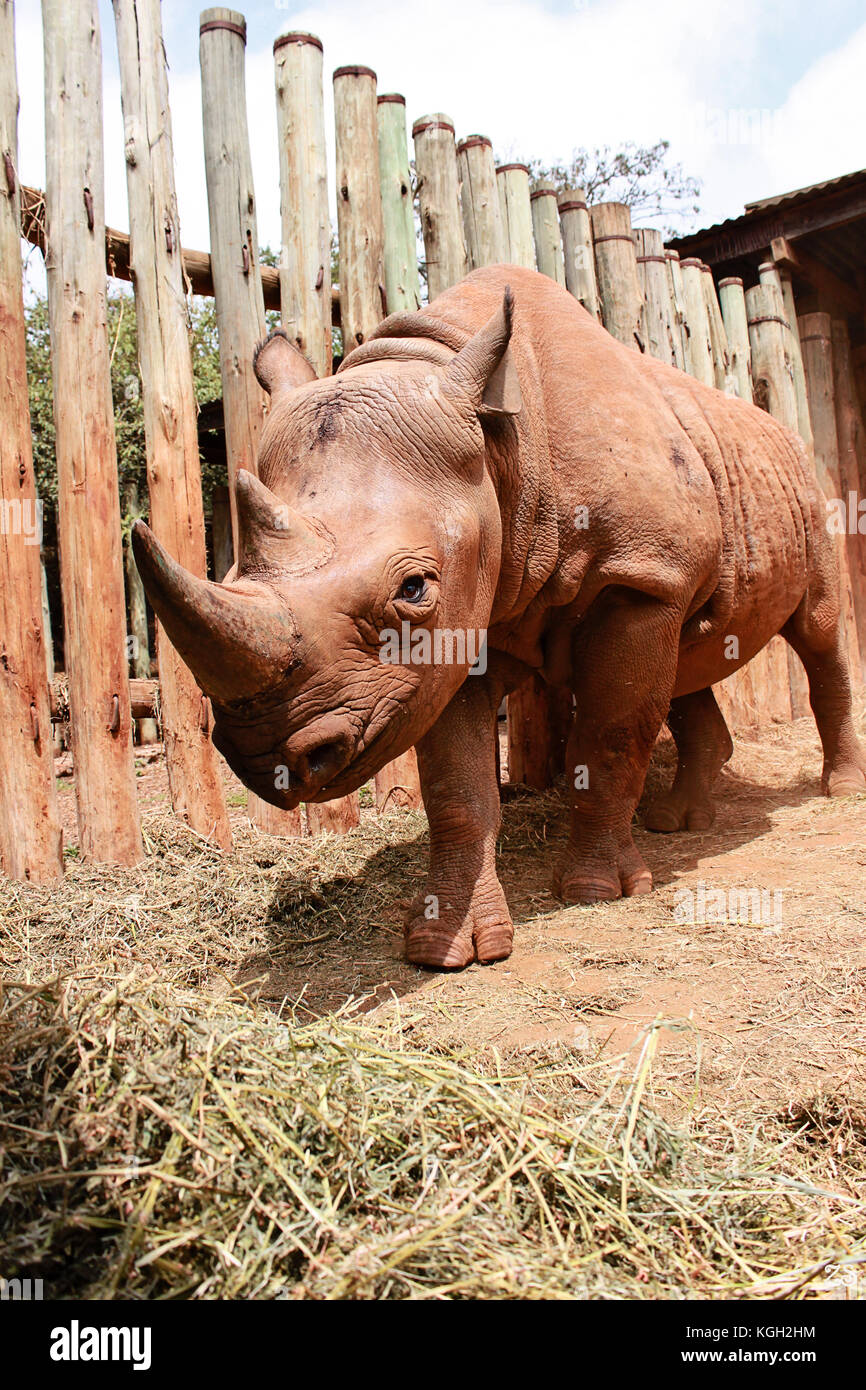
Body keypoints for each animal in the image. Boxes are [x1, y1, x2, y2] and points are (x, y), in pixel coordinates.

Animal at [134, 265, 866, 968]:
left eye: (413, 588)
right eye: (229, 578)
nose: (265, 759)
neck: (502, 449)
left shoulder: (636, 574)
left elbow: (609, 737)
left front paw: (594, 891)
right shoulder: (458, 629)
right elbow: (457, 788)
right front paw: (446, 948)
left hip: (803, 492)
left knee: (818, 633)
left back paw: (838, 791)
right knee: (691, 656)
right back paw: (679, 822)